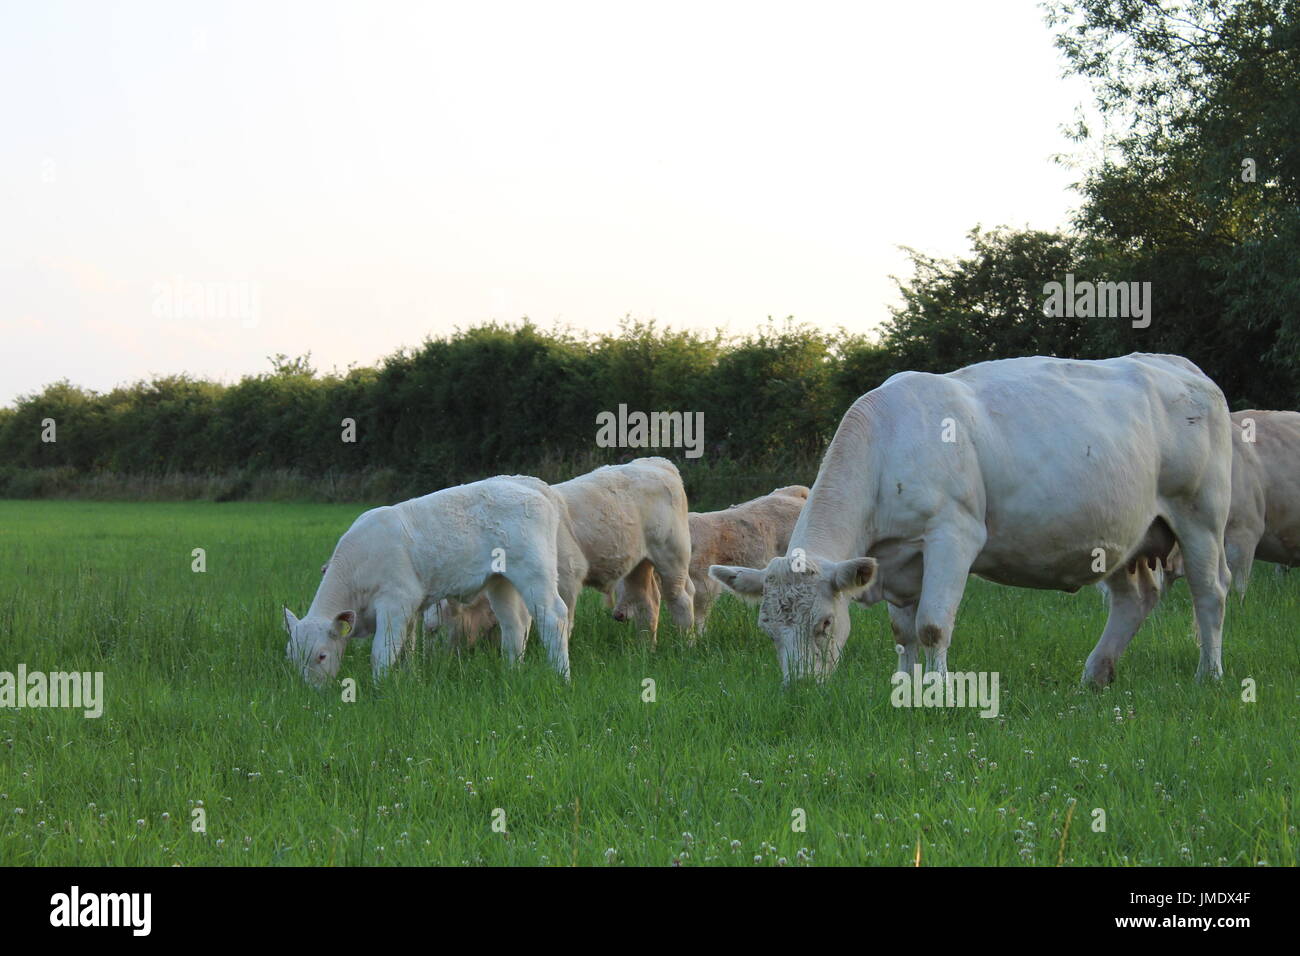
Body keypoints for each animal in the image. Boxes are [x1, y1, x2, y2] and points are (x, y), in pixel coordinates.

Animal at [285, 475, 584, 686]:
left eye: (321, 655)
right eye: (291, 655)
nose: (312, 693)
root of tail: (532, 485)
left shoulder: (395, 603)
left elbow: (382, 652)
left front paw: (379, 687)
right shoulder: (410, 609)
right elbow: (406, 649)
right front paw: (408, 680)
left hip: (535, 572)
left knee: (553, 617)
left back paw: (561, 676)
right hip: (501, 581)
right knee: (514, 625)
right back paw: (512, 672)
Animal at [424, 457, 695, 650]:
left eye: (436, 629)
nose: (433, 663)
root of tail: (656, 463)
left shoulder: (566, 576)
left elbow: (562, 619)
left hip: (672, 556)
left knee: (680, 598)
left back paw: (686, 645)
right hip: (639, 565)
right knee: (648, 602)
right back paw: (645, 648)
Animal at [612, 485, 810, 636]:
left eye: (632, 589)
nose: (618, 615)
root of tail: (794, 492)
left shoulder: (703, 581)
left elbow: (699, 611)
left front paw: (699, 635)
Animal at [709, 353, 1233, 687]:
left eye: (822, 623)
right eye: (767, 630)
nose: (798, 689)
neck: (887, 443)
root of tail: (1181, 365)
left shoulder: (952, 535)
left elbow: (932, 626)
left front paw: (939, 692)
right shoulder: (899, 558)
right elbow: (903, 632)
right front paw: (905, 686)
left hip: (1200, 515)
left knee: (1210, 594)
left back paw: (1209, 675)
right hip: (1123, 535)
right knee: (1134, 600)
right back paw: (1095, 675)